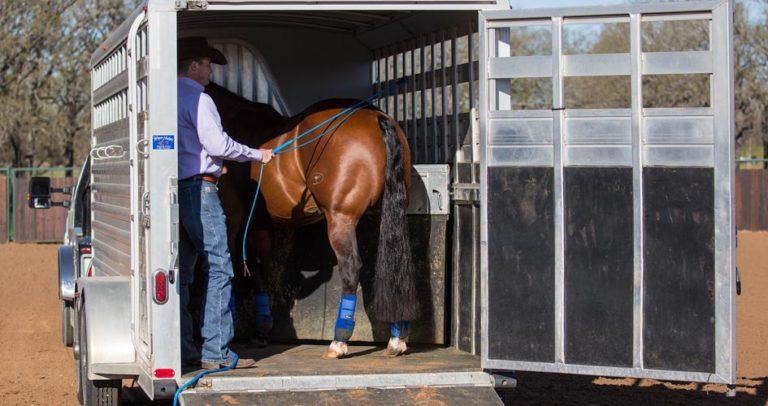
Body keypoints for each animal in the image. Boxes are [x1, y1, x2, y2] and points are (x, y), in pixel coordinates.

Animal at [204, 82, 418, 359]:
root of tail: (375, 117)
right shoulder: (260, 227)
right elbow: (262, 271)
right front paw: (262, 331)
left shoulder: (233, 224)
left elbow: (237, 272)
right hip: (387, 216)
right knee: (394, 265)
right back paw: (396, 339)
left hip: (341, 220)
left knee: (351, 268)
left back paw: (339, 341)